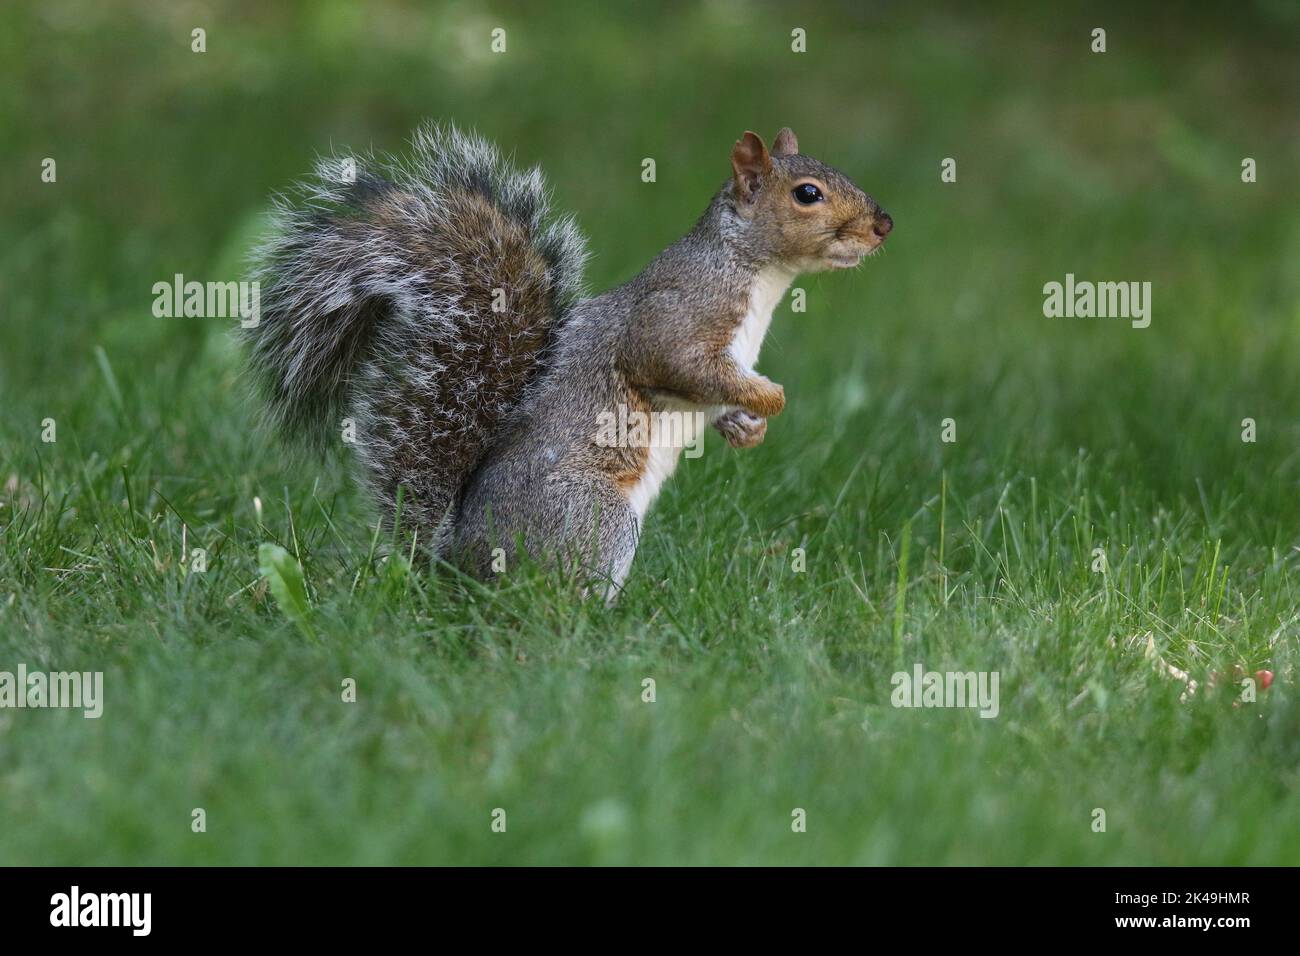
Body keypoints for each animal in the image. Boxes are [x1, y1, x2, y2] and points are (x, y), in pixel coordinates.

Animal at [244, 124, 891, 598]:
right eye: (807, 193)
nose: (883, 225)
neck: (758, 277)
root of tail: (459, 563)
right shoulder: (677, 319)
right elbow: (678, 365)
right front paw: (770, 397)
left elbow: (717, 398)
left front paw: (747, 426)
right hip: (597, 516)